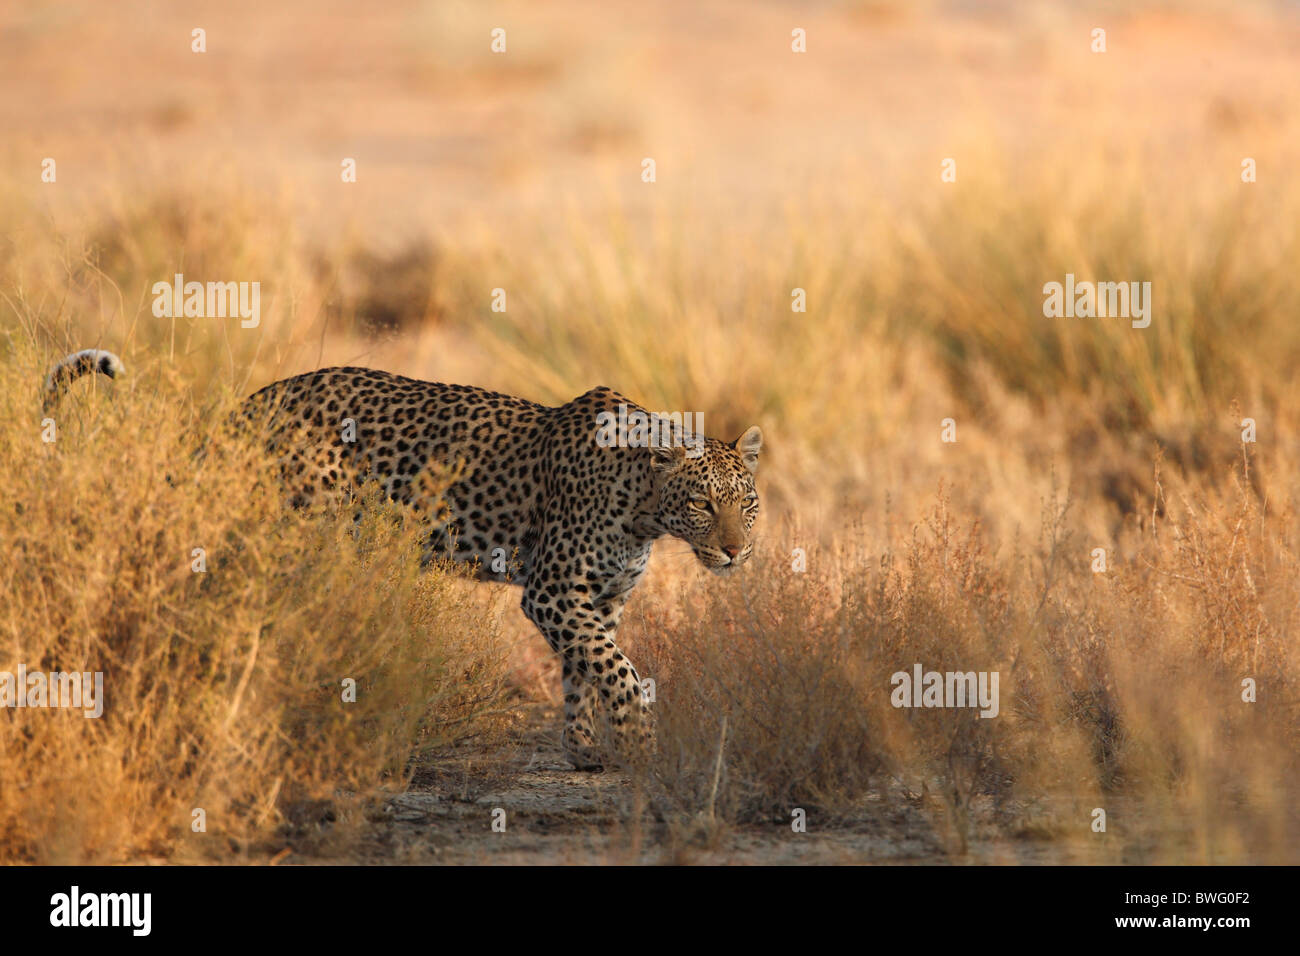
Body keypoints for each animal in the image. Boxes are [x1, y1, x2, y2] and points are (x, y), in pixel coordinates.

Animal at [44, 349, 763, 771]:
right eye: (702, 502)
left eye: (748, 503)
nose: (736, 550)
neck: (644, 508)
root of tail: (255, 402)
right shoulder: (553, 592)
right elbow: (618, 669)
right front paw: (641, 742)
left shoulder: (600, 599)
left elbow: (584, 671)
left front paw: (585, 750)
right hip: (301, 528)